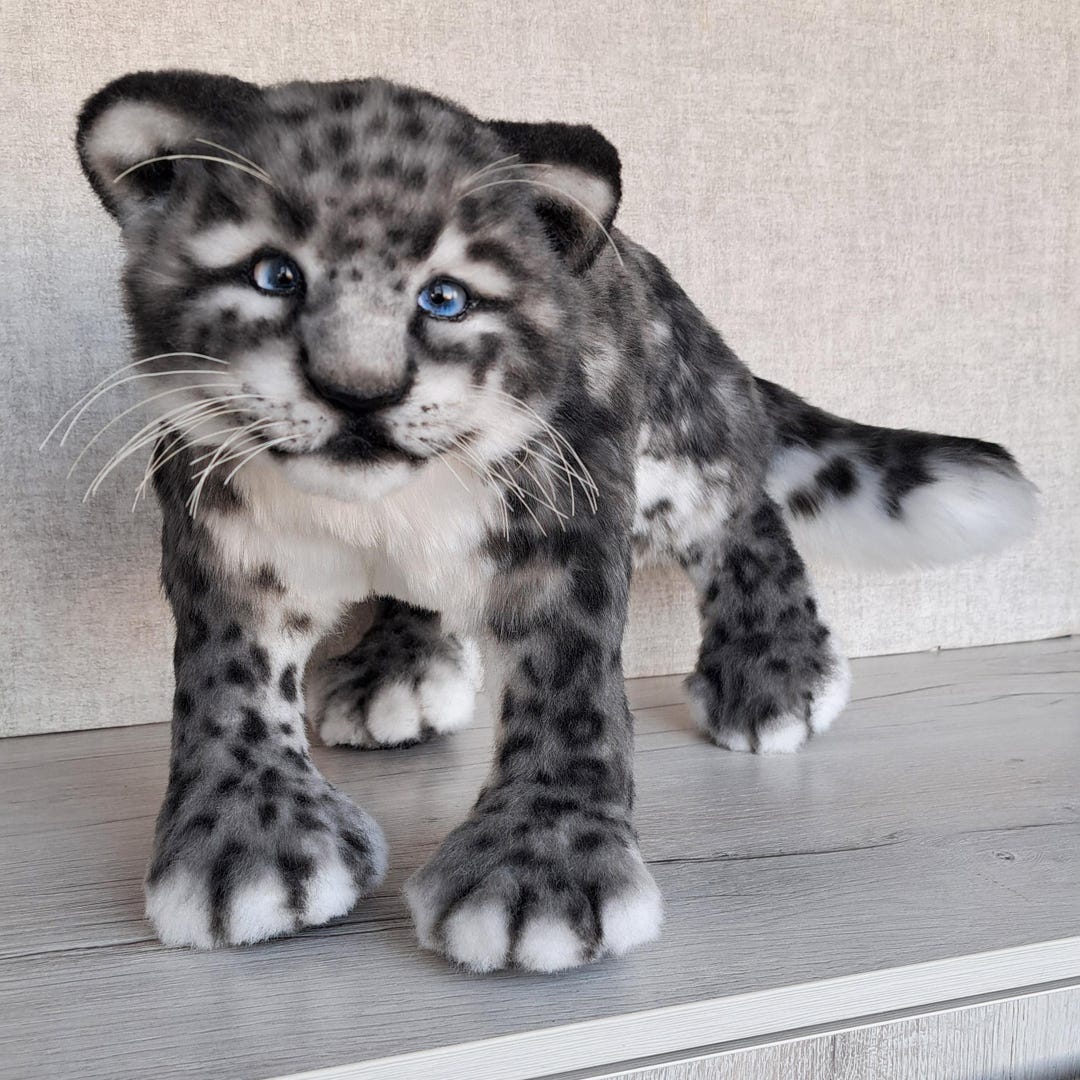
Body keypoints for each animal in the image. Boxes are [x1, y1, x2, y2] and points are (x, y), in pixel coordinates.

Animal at [70, 70, 1037, 971]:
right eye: (274, 275)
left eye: (445, 296)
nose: (361, 393)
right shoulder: (224, 528)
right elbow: (226, 678)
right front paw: (247, 846)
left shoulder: (568, 520)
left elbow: (567, 688)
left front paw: (538, 875)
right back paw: (400, 669)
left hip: (681, 449)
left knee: (743, 497)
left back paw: (774, 672)